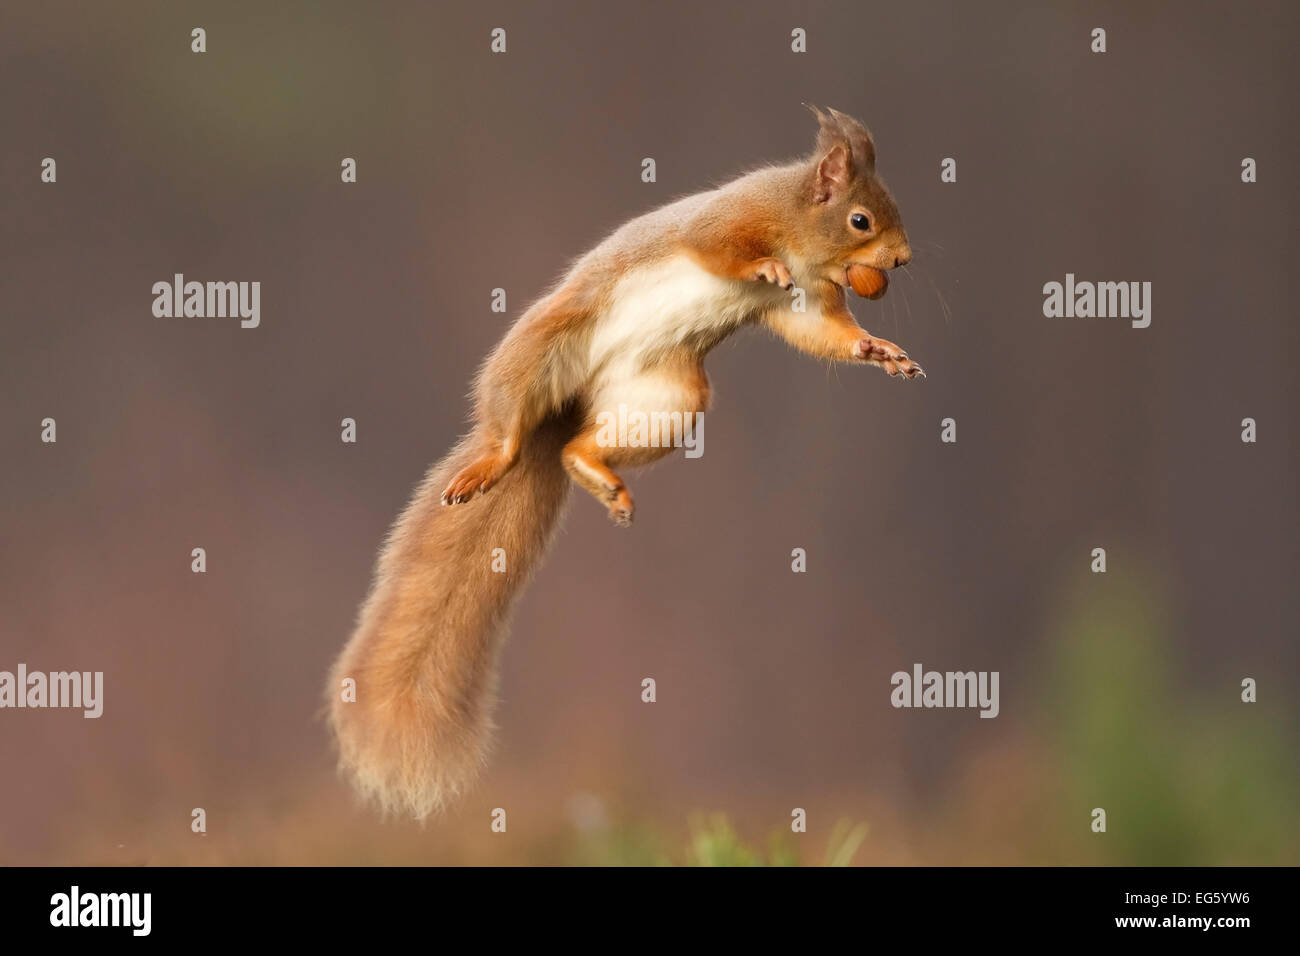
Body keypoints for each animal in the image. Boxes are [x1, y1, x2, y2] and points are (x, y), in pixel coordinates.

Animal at [326, 107, 922, 819]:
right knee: (509, 427)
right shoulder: (727, 221)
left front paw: (879, 350)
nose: (904, 259)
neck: (802, 229)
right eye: (861, 219)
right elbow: (720, 248)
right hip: (539, 349)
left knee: (576, 448)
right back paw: (492, 463)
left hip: (668, 401)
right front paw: (764, 265)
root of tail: (567, 410)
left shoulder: (806, 302)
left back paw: (597, 474)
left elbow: (826, 333)